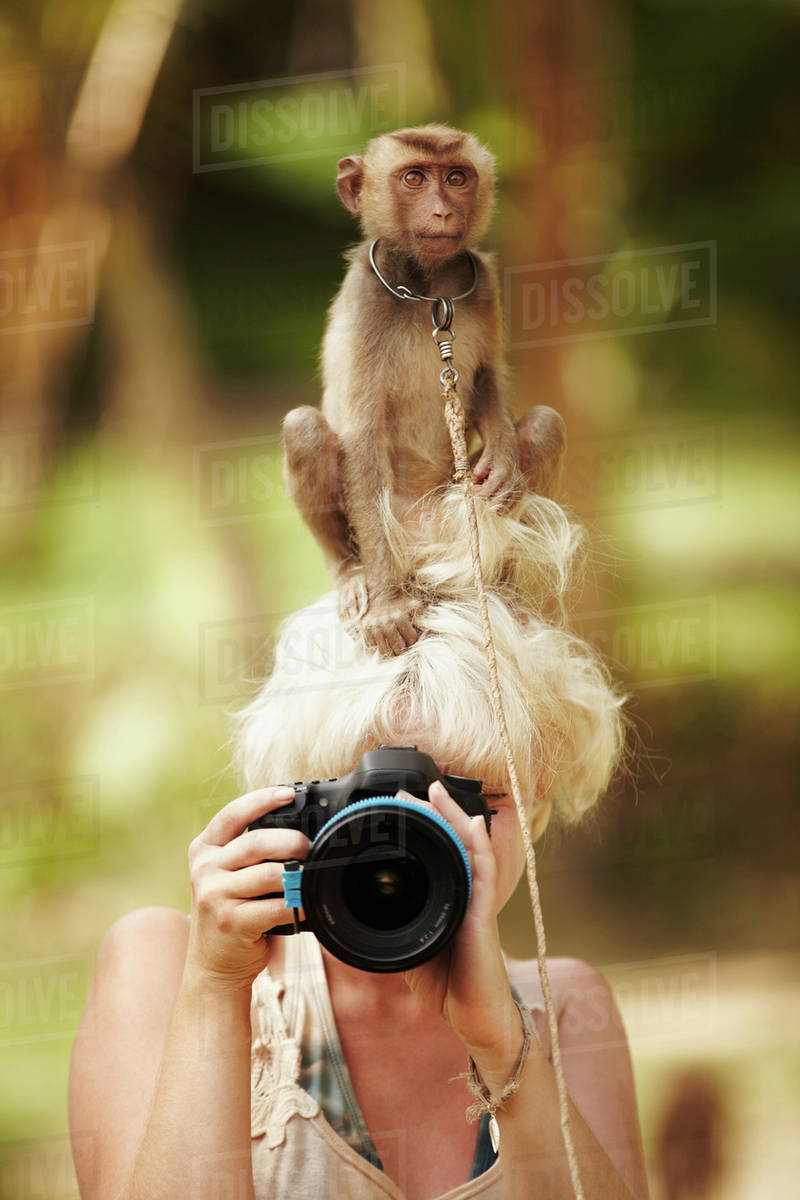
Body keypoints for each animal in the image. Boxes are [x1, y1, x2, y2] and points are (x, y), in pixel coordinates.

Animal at [282, 123, 566, 657]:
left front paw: (503, 458)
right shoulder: (366, 301)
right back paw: (352, 573)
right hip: (392, 534)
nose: (442, 211)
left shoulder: (484, 284)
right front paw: (388, 606)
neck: (428, 287)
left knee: (544, 425)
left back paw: (502, 588)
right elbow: (361, 439)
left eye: (456, 177)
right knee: (304, 427)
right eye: (414, 178)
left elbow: (486, 377)